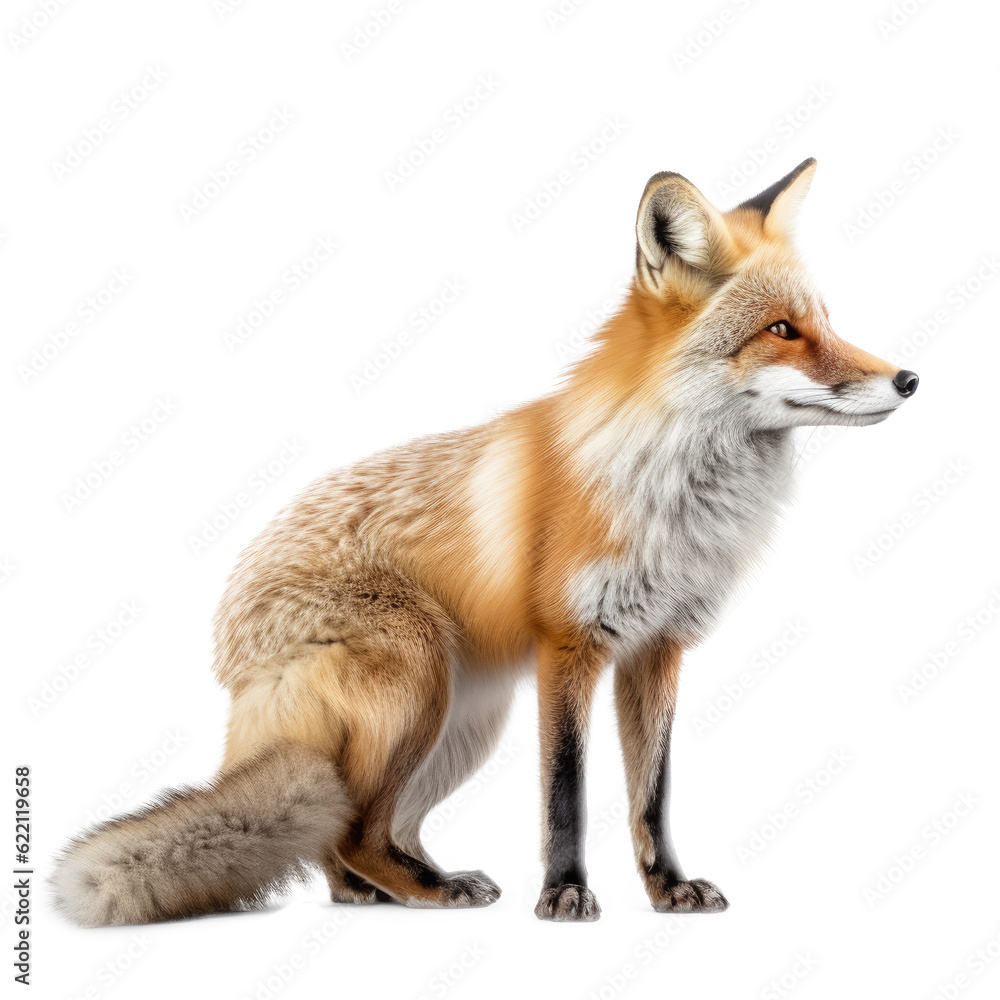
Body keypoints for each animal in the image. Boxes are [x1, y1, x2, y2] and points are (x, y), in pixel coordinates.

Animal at [52, 157, 918, 925]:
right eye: (782, 330)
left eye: (827, 322)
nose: (909, 379)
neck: (665, 486)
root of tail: (229, 654)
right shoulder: (569, 646)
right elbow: (566, 792)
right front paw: (564, 895)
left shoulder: (658, 649)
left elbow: (652, 795)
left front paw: (667, 889)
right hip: (419, 678)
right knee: (356, 828)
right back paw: (425, 891)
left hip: (464, 725)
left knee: (347, 831)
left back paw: (385, 889)